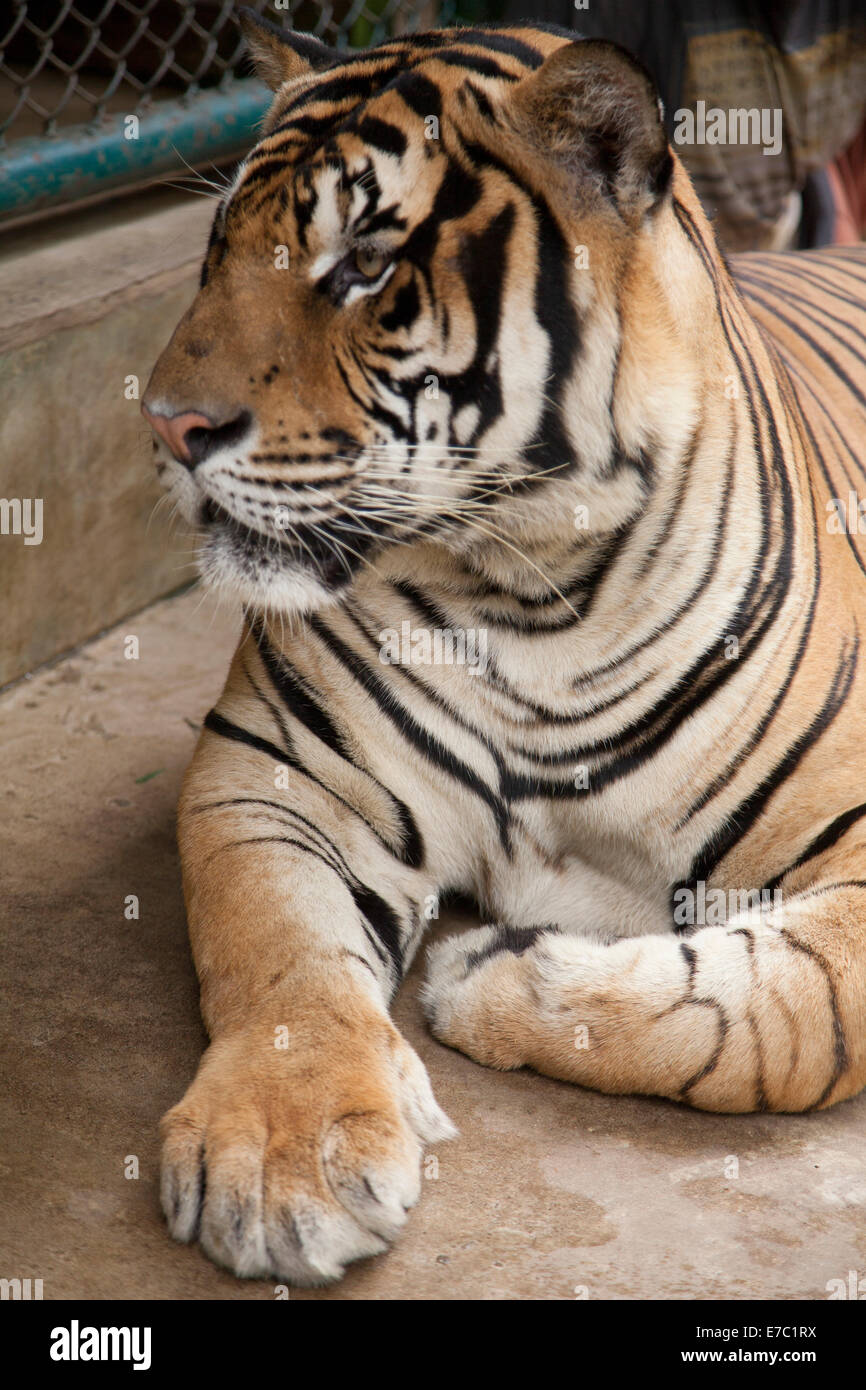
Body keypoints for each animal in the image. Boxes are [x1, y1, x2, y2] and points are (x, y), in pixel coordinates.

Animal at [141, 14, 866, 1286]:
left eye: (363, 264)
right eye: (219, 248)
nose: (168, 425)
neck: (529, 591)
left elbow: (777, 1025)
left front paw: (497, 976)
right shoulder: (273, 772)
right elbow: (272, 950)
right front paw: (278, 1155)